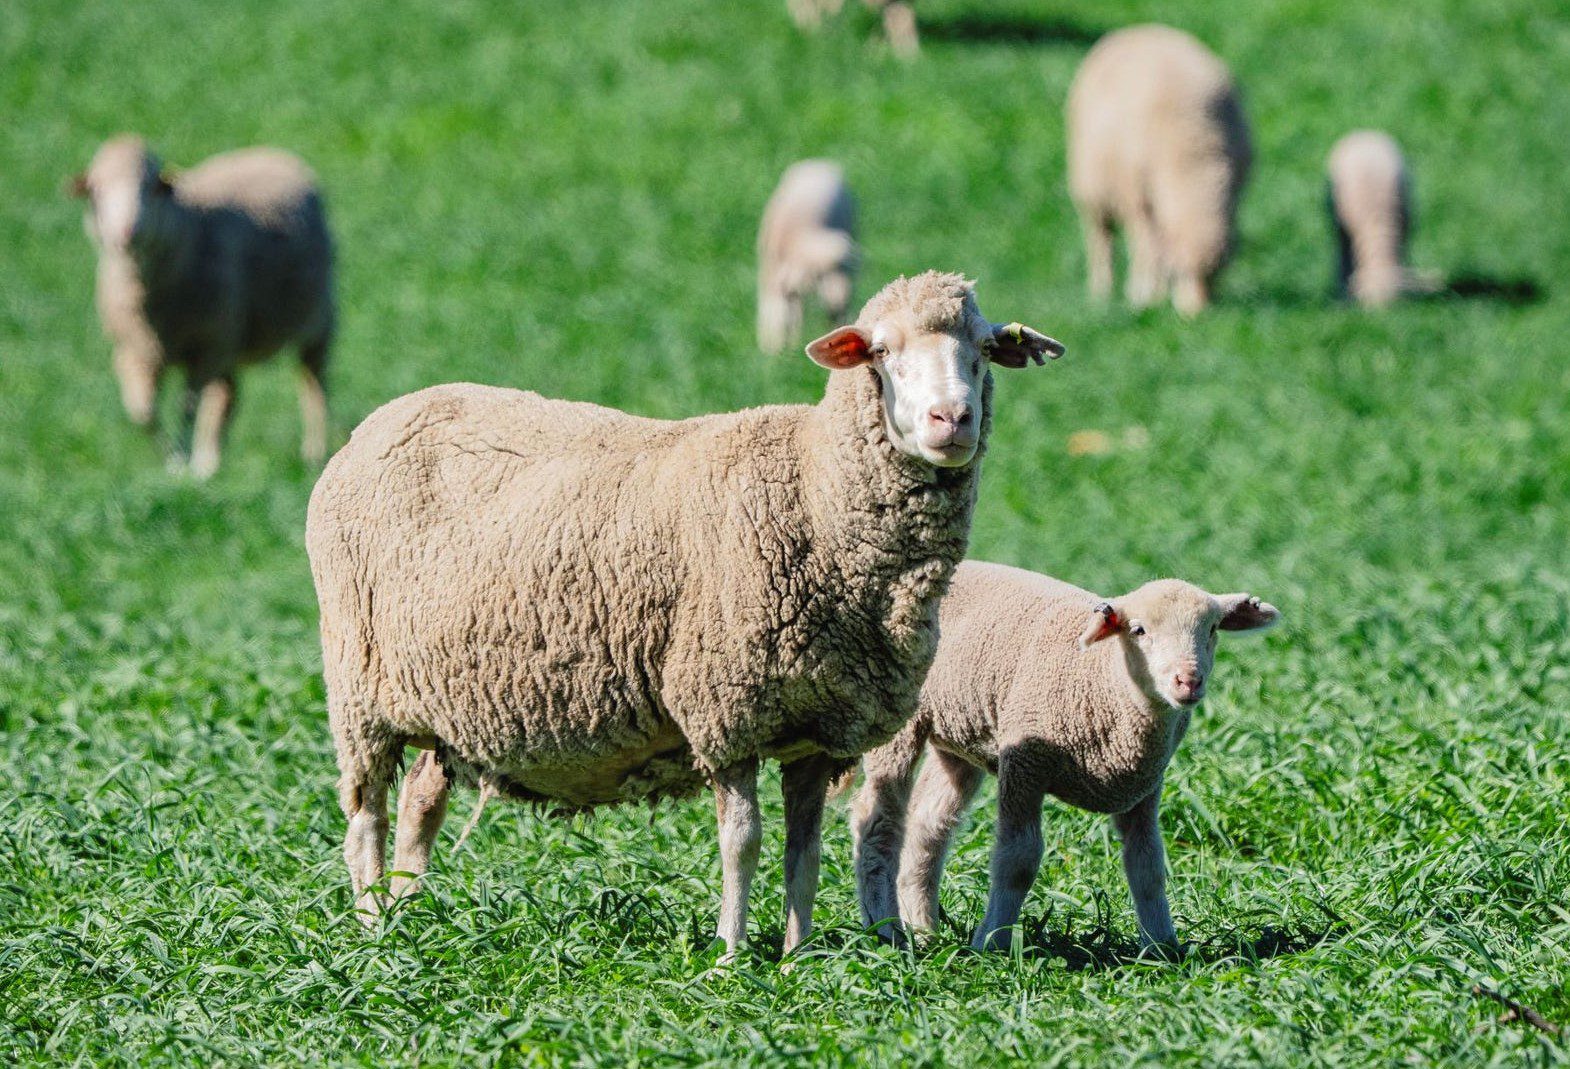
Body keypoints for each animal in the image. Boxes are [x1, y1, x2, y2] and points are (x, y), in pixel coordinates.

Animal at [69, 136, 335, 478]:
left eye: (152, 189)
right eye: (97, 192)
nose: (127, 234)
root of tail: (271, 151)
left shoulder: (205, 346)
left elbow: (187, 406)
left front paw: (182, 459)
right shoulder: (134, 349)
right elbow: (143, 412)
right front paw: (173, 461)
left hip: (317, 319)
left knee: (313, 384)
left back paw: (314, 452)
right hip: (229, 343)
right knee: (228, 395)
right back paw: (211, 463)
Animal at [305, 272, 1064, 957]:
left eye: (984, 349)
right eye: (881, 350)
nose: (951, 420)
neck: (814, 488)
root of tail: (382, 419)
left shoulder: (816, 732)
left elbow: (804, 849)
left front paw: (800, 956)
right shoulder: (724, 711)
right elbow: (742, 842)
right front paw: (731, 954)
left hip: (447, 700)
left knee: (418, 805)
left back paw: (412, 912)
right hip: (358, 688)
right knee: (366, 816)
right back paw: (374, 930)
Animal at [757, 160, 858, 355]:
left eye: (849, 270)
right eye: (820, 274)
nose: (842, 301)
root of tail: (820, 163)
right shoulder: (775, 276)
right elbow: (778, 313)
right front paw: (776, 351)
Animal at [851, 562, 1279, 951]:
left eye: (1212, 629)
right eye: (1139, 630)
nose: (1188, 681)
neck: (1105, 678)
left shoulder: (1144, 787)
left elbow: (1147, 865)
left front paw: (1163, 948)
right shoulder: (1024, 765)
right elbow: (1017, 859)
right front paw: (992, 943)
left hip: (961, 736)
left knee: (929, 823)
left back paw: (924, 927)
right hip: (898, 718)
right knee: (878, 820)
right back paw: (887, 930)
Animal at [1066, 25, 1252, 316]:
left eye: (1217, 275)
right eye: (1179, 272)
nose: (1196, 315)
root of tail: (1135, 29)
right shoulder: (1136, 198)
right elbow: (1145, 249)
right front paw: (1143, 295)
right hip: (1092, 192)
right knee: (1101, 239)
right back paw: (1101, 291)